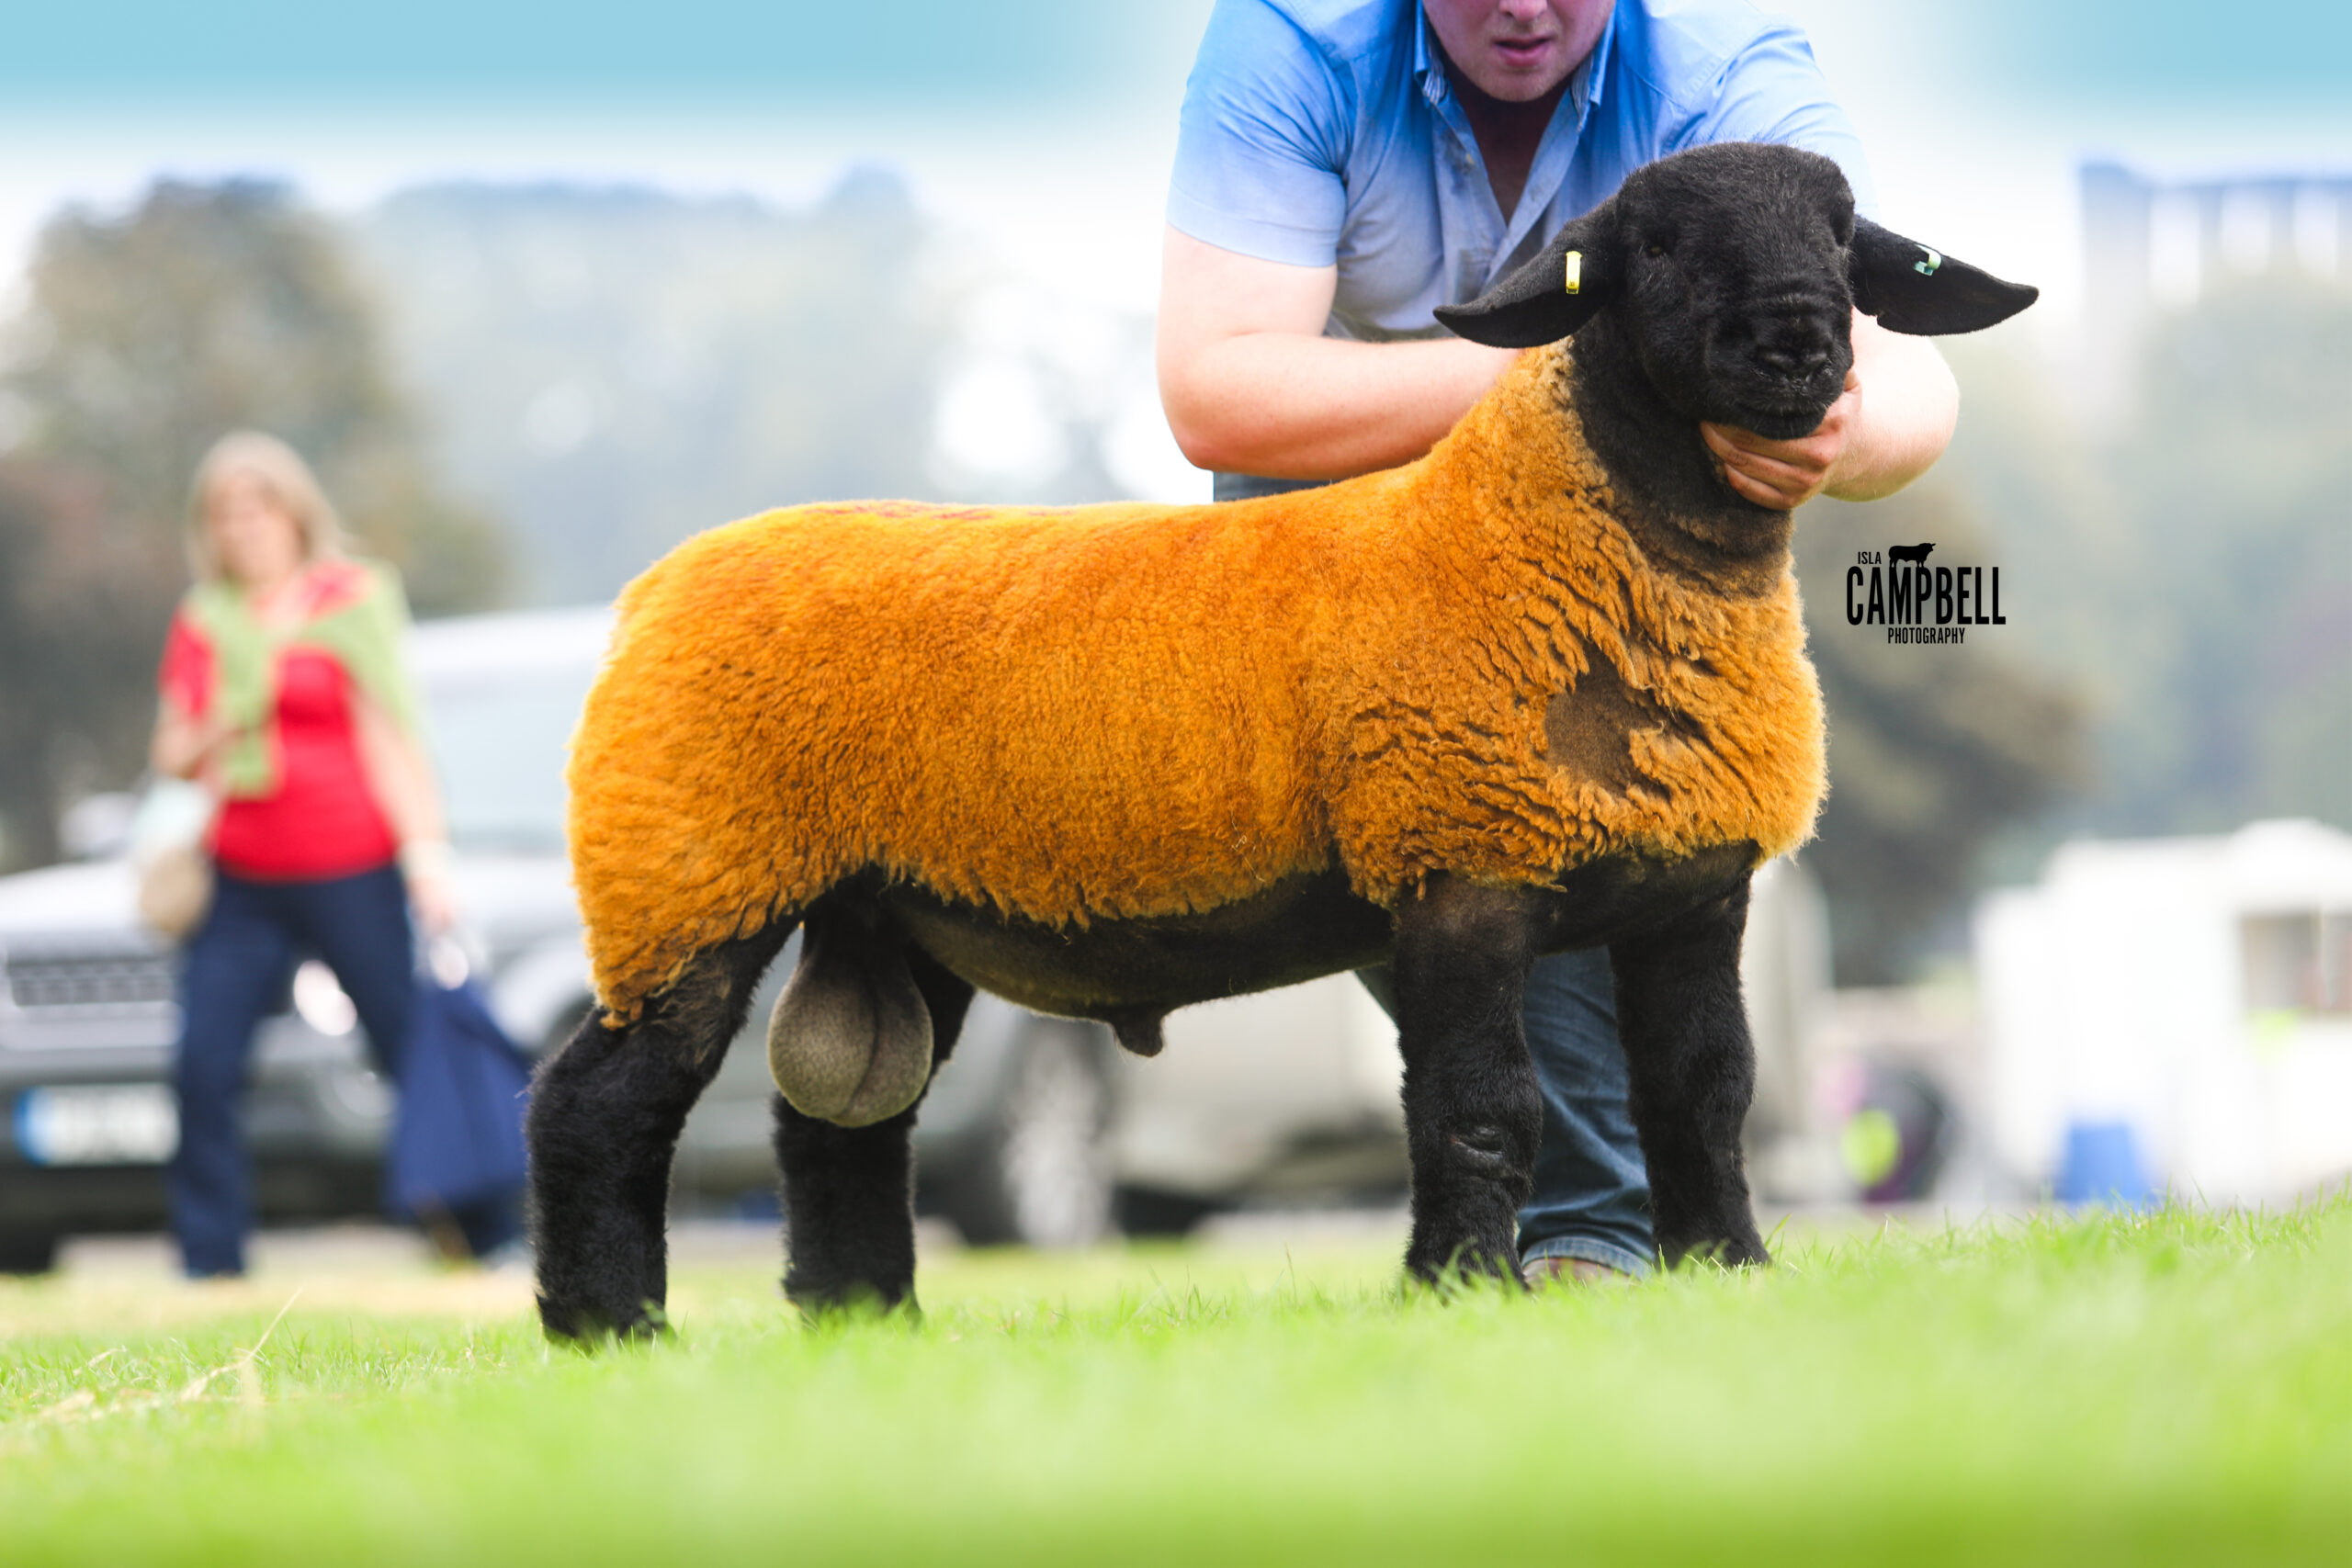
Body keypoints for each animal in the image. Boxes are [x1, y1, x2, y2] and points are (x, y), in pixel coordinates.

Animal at [526, 142, 2035, 1339]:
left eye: (1841, 233)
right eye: (1648, 244)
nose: (1797, 343)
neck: (1557, 541)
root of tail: (656, 587)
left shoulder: (1693, 890)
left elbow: (1704, 1092)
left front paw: (1727, 1269)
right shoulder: (1459, 865)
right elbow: (1484, 1108)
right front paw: (1461, 1292)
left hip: (890, 909)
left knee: (842, 1122)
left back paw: (864, 1329)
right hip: (686, 868)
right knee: (595, 1104)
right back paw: (613, 1333)